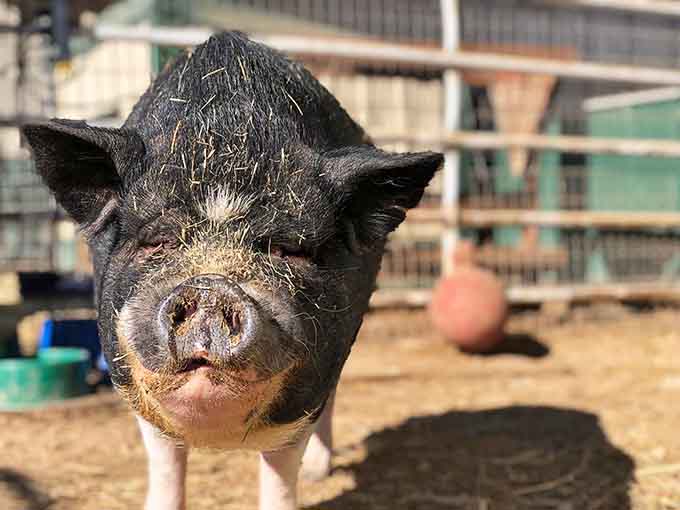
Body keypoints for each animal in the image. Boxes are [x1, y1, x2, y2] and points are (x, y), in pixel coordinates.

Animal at [22, 32, 442, 510]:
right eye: (157, 241)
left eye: (286, 249)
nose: (211, 288)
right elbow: (165, 460)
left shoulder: (310, 389)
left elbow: (280, 467)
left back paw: (317, 472)